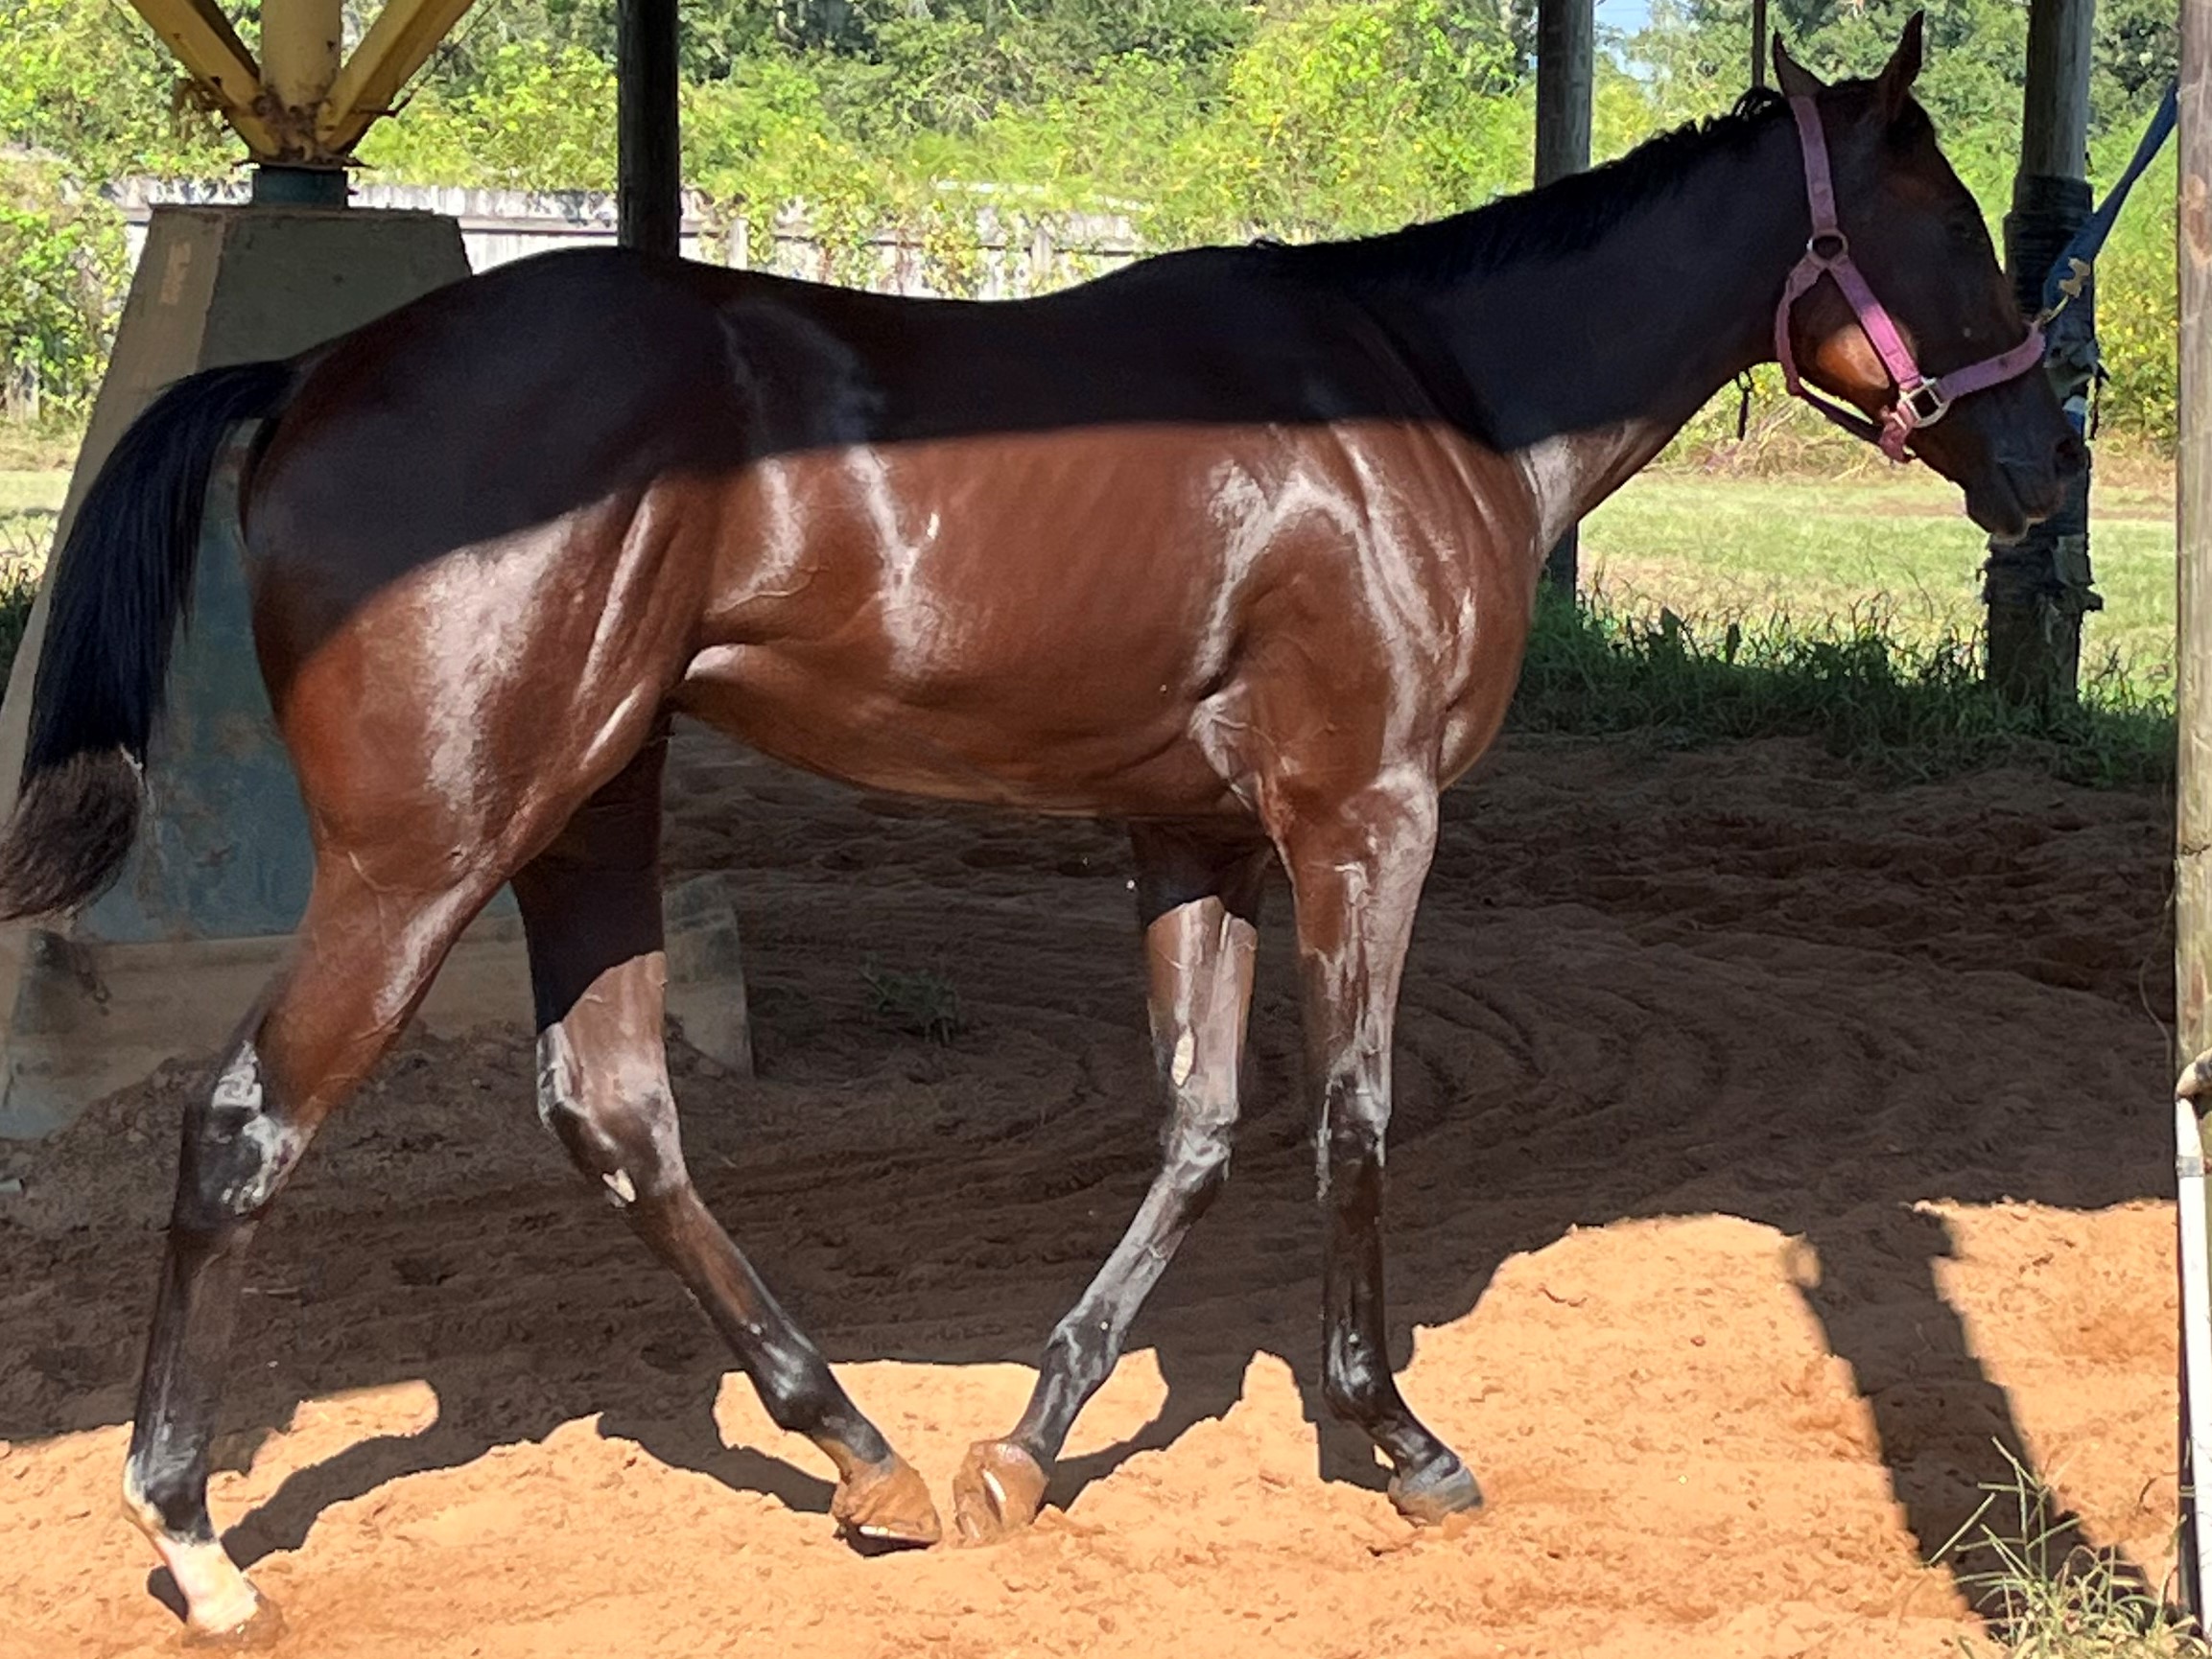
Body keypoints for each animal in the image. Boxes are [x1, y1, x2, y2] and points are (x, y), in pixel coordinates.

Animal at [0, 16, 2075, 1641]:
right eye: (1952, 231)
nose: (2049, 464)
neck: (1422, 402)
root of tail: (310, 373)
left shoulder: (1197, 838)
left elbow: (1199, 1130)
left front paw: (1021, 1443)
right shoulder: (1365, 820)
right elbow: (1350, 1113)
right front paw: (1398, 1437)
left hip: (591, 810)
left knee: (615, 1114)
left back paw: (866, 1451)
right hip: (433, 854)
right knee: (247, 1126)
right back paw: (194, 1537)